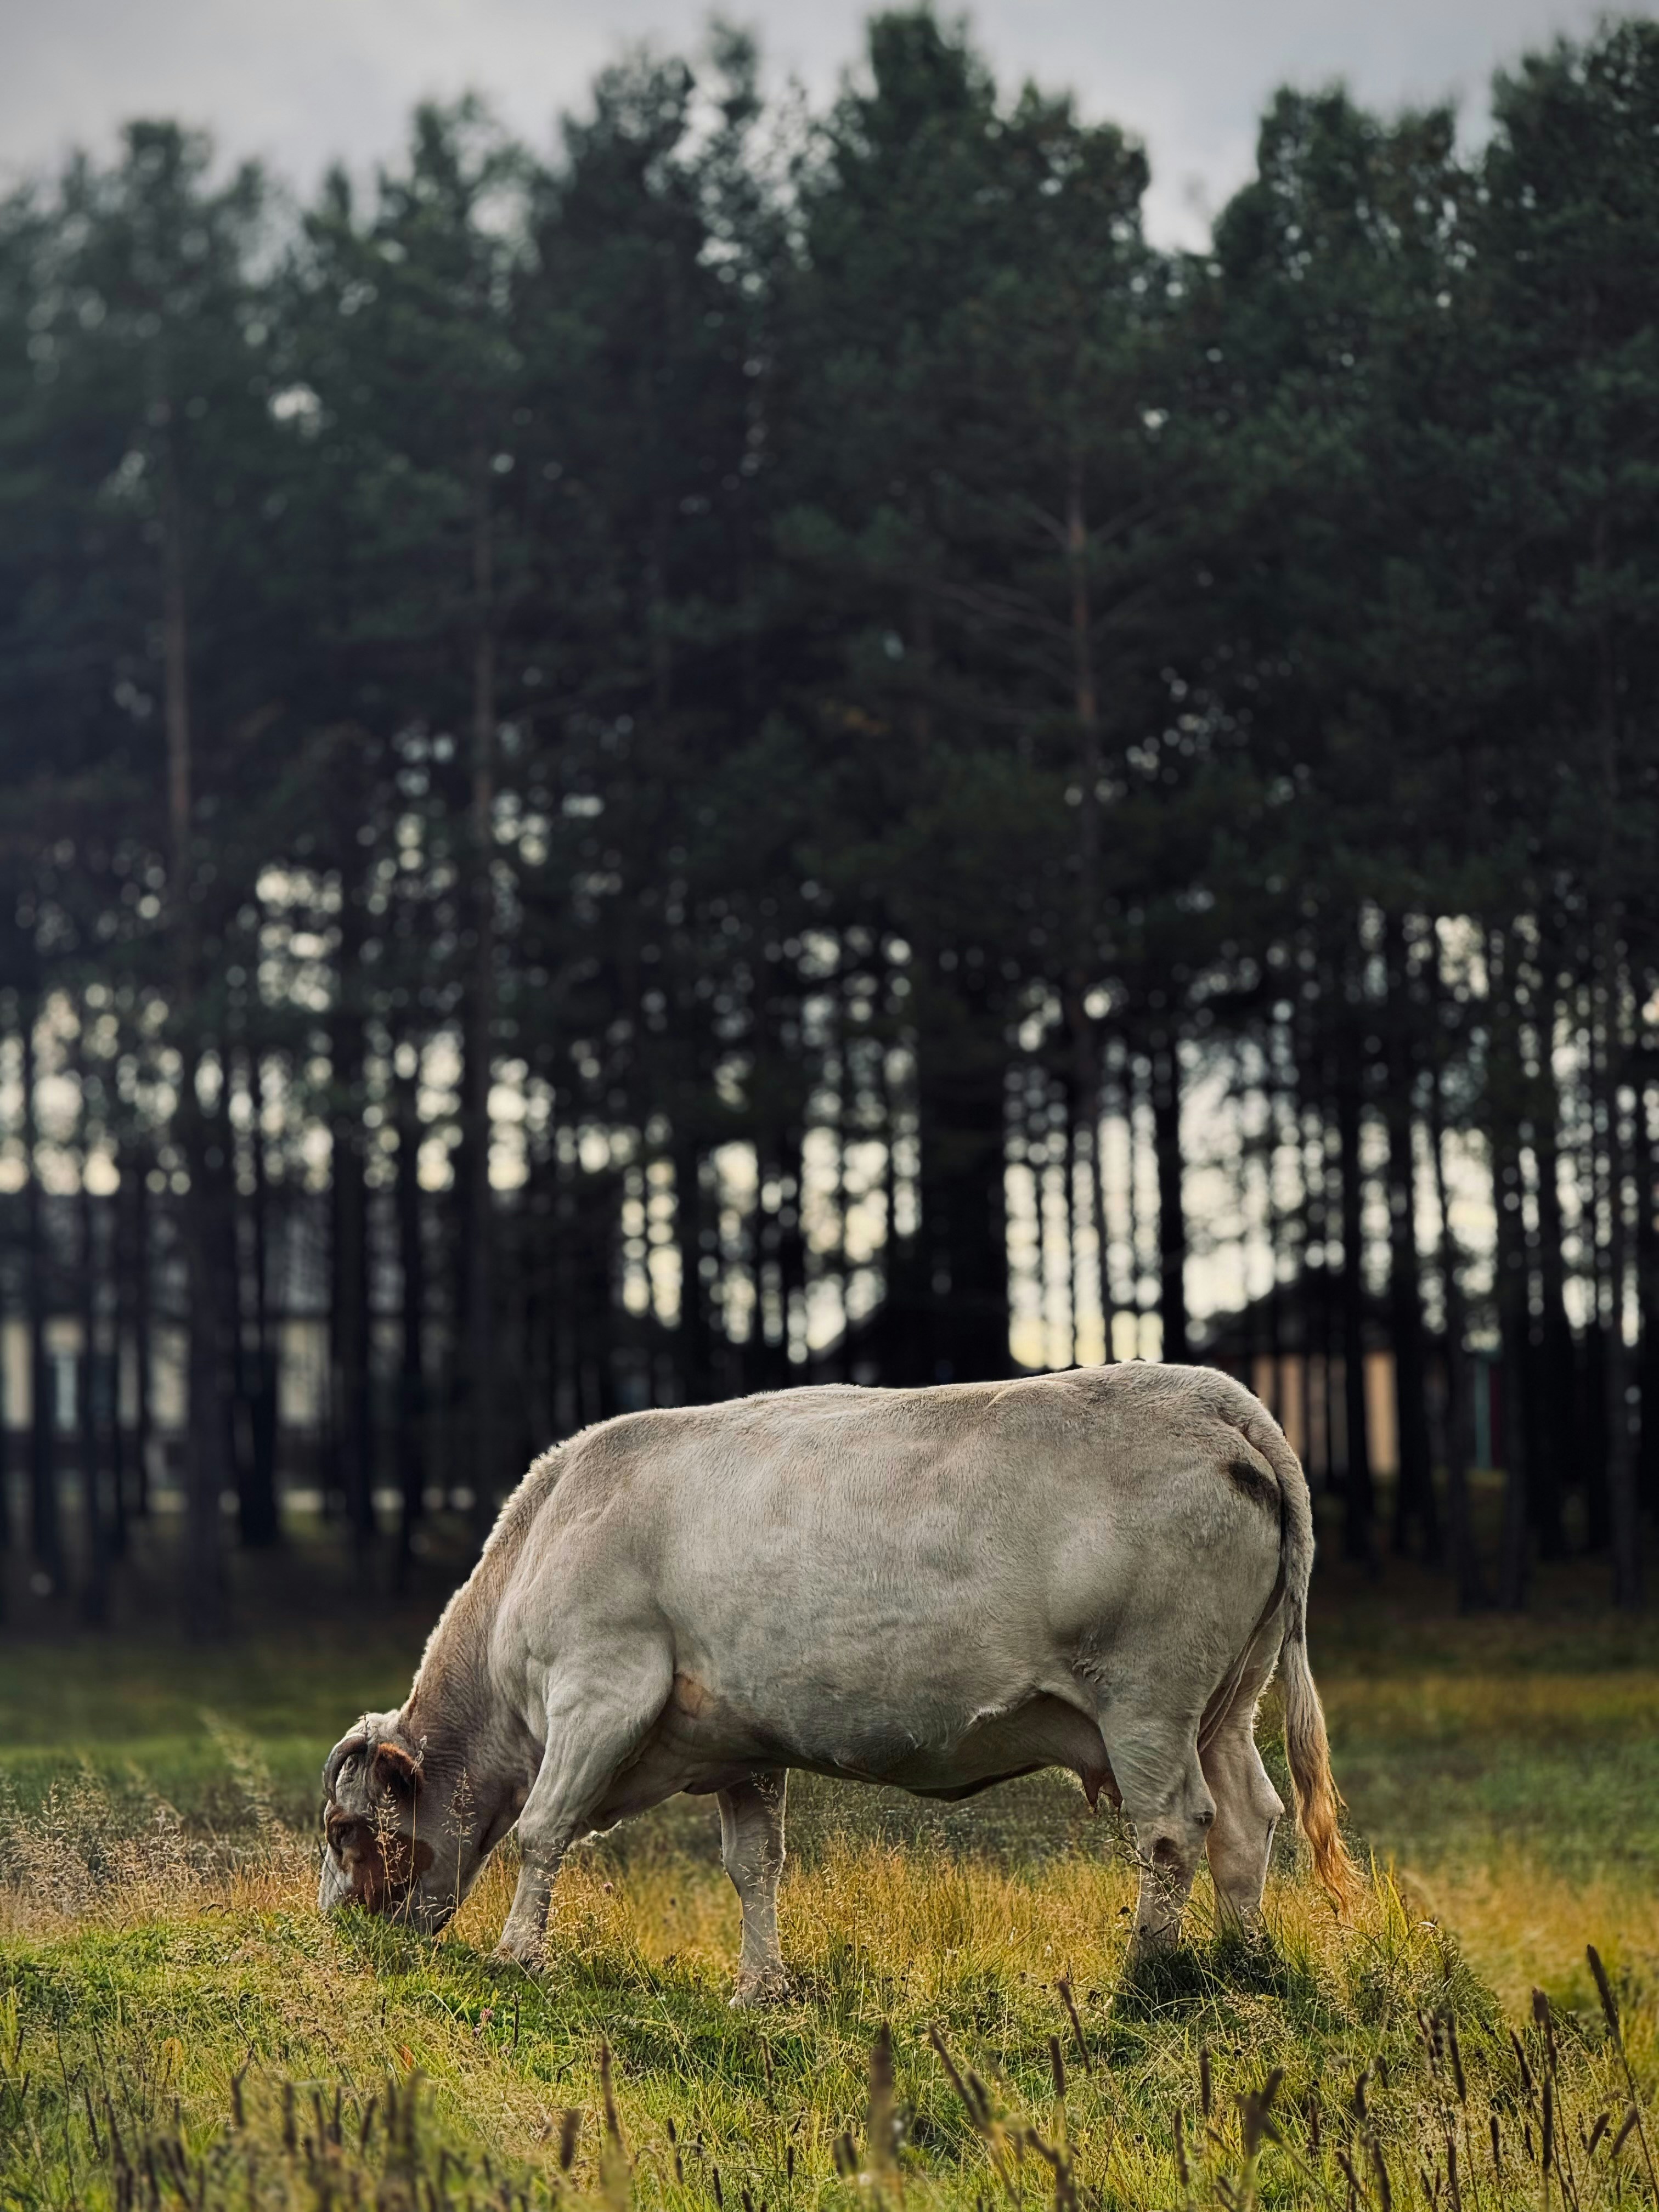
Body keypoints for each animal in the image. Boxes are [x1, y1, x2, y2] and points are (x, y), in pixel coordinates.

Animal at [319, 1363, 1354, 2000]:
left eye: (343, 1831)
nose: (337, 1932)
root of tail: (1217, 1399)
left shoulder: (599, 1687)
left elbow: (541, 1829)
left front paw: (517, 1957)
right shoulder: (739, 1743)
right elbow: (755, 1868)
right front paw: (758, 1989)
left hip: (1146, 1700)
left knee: (1174, 1828)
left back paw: (1141, 1980)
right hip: (1227, 1704)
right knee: (1248, 1819)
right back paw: (1245, 1964)